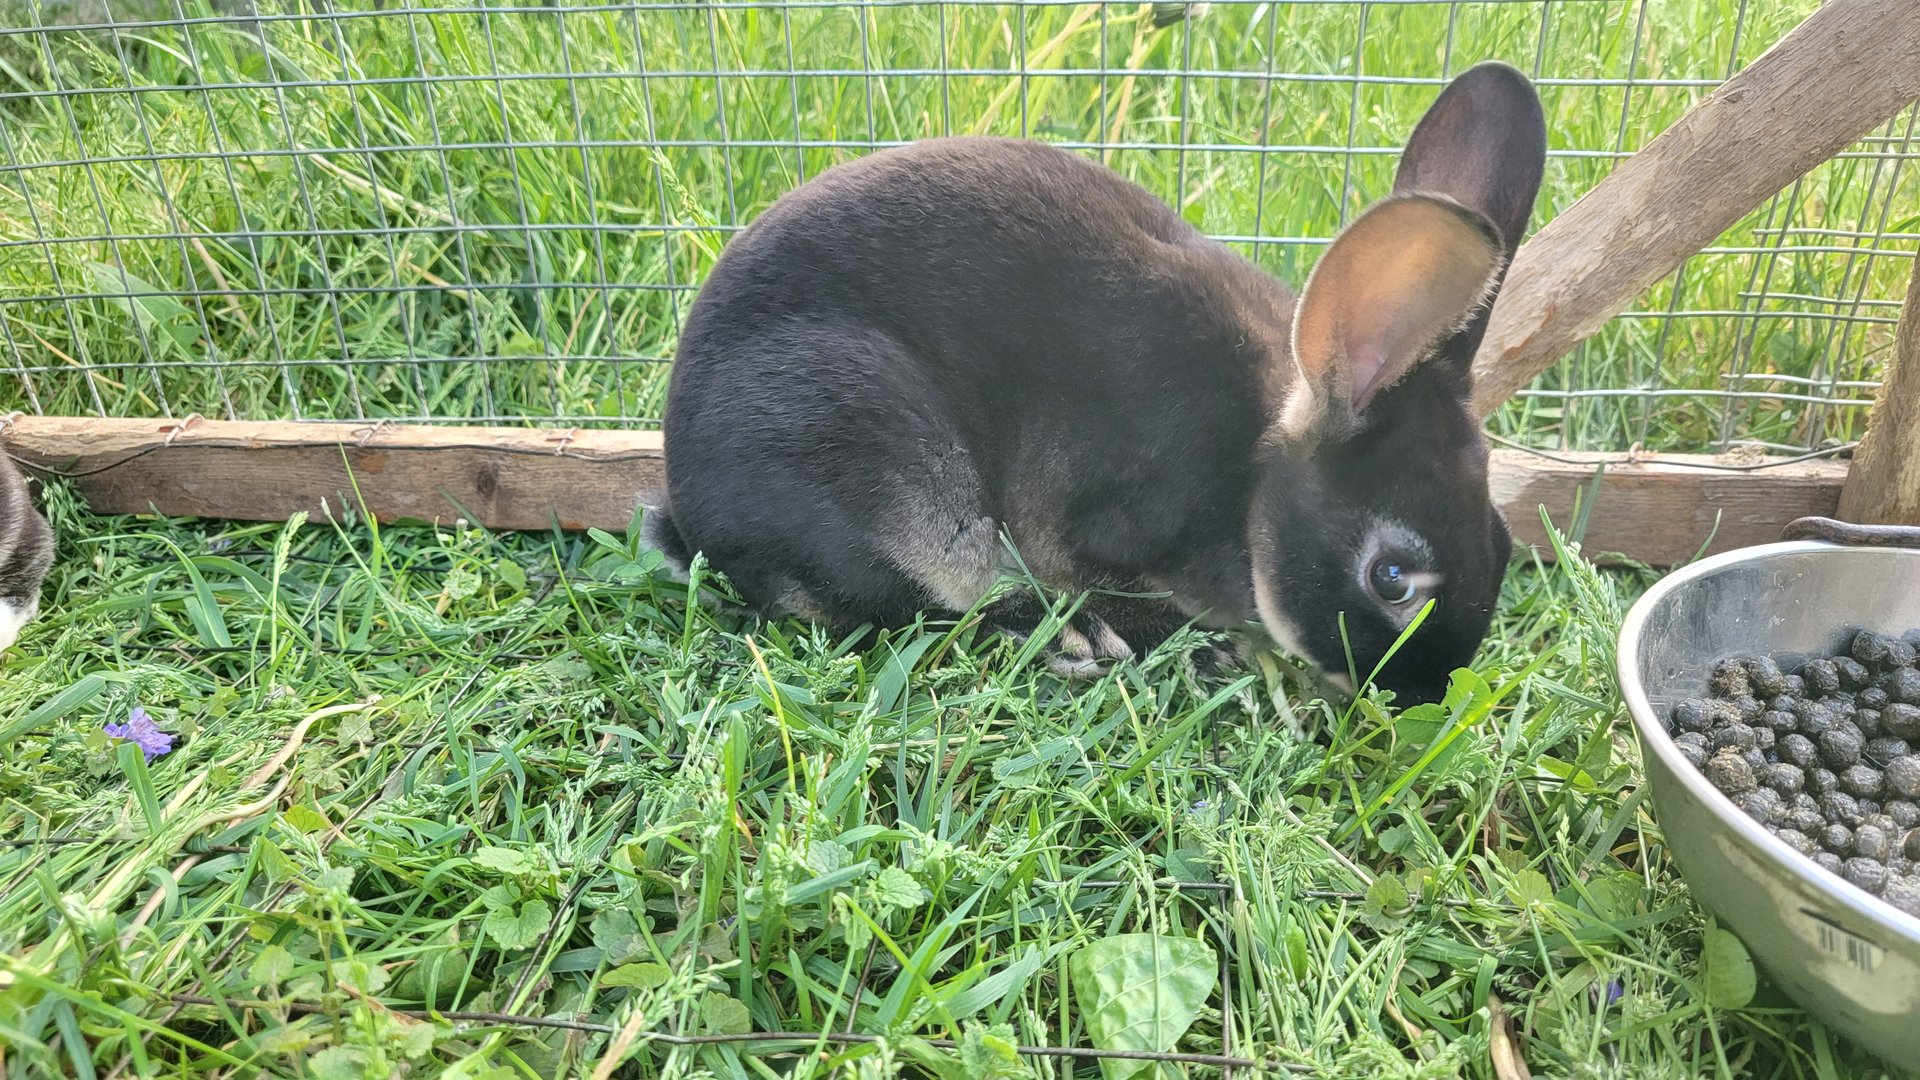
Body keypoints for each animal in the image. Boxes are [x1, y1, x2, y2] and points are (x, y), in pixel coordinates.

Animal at [646, 61, 1546, 706]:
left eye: (1503, 541)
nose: (1424, 694)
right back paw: (1074, 638)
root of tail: (694, 513)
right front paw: (1201, 645)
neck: (1252, 478)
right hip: (869, 447)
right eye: (1392, 578)